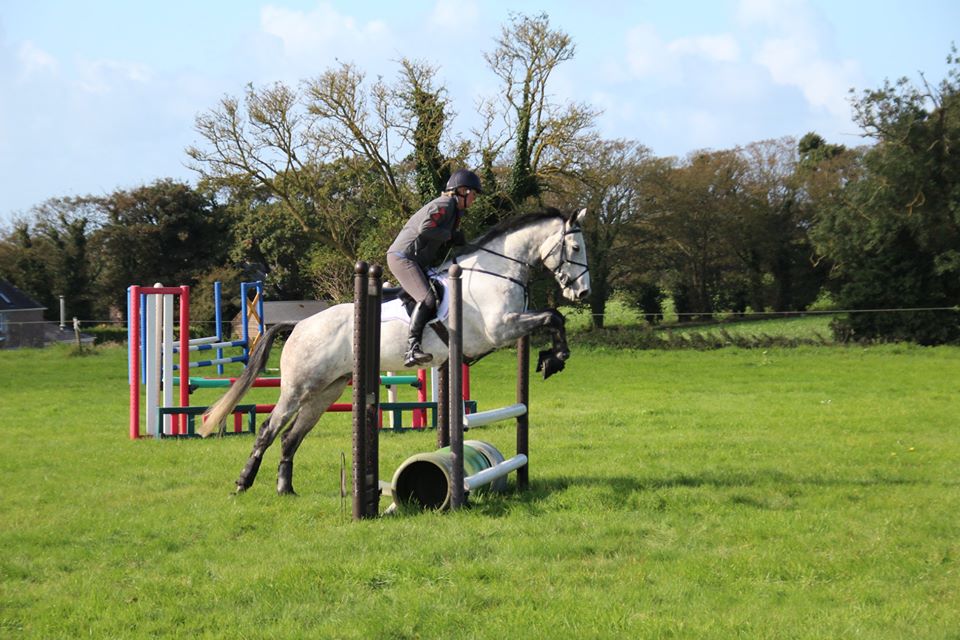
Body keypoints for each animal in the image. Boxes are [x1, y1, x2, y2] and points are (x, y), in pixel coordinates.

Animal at [199, 207, 591, 495]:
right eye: (575, 249)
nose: (583, 293)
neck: (495, 271)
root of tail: (299, 326)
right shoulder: (500, 329)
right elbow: (553, 316)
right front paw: (553, 359)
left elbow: (552, 317)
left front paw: (551, 359)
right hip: (298, 387)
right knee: (269, 428)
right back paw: (243, 482)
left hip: (327, 390)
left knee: (292, 436)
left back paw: (286, 489)